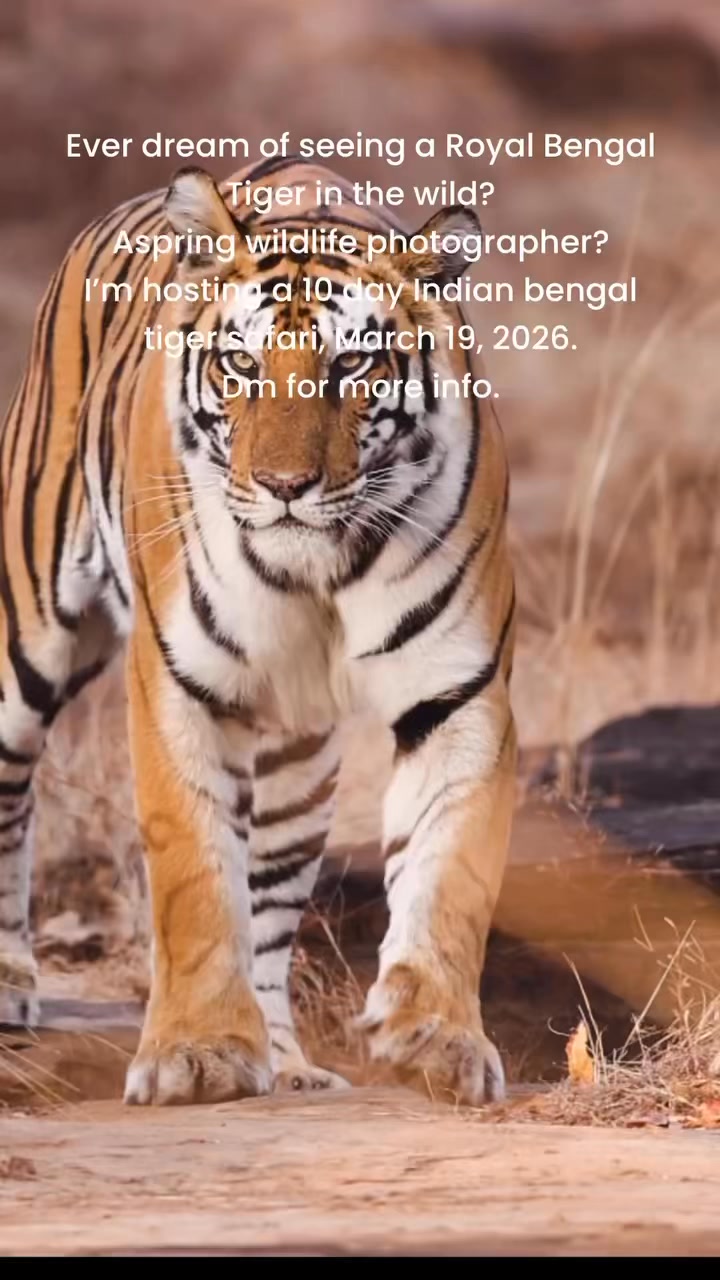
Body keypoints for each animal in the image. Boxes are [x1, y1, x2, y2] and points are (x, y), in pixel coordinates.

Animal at [0, 154, 516, 1106]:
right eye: (241, 364)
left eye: (351, 365)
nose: (284, 487)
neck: (321, 568)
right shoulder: (180, 683)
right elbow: (197, 881)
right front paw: (197, 1054)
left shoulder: (457, 691)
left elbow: (447, 872)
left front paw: (435, 1037)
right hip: (29, 633)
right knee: (12, 790)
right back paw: (12, 980)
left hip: (300, 759)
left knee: (271, 908)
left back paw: (286, 1061)